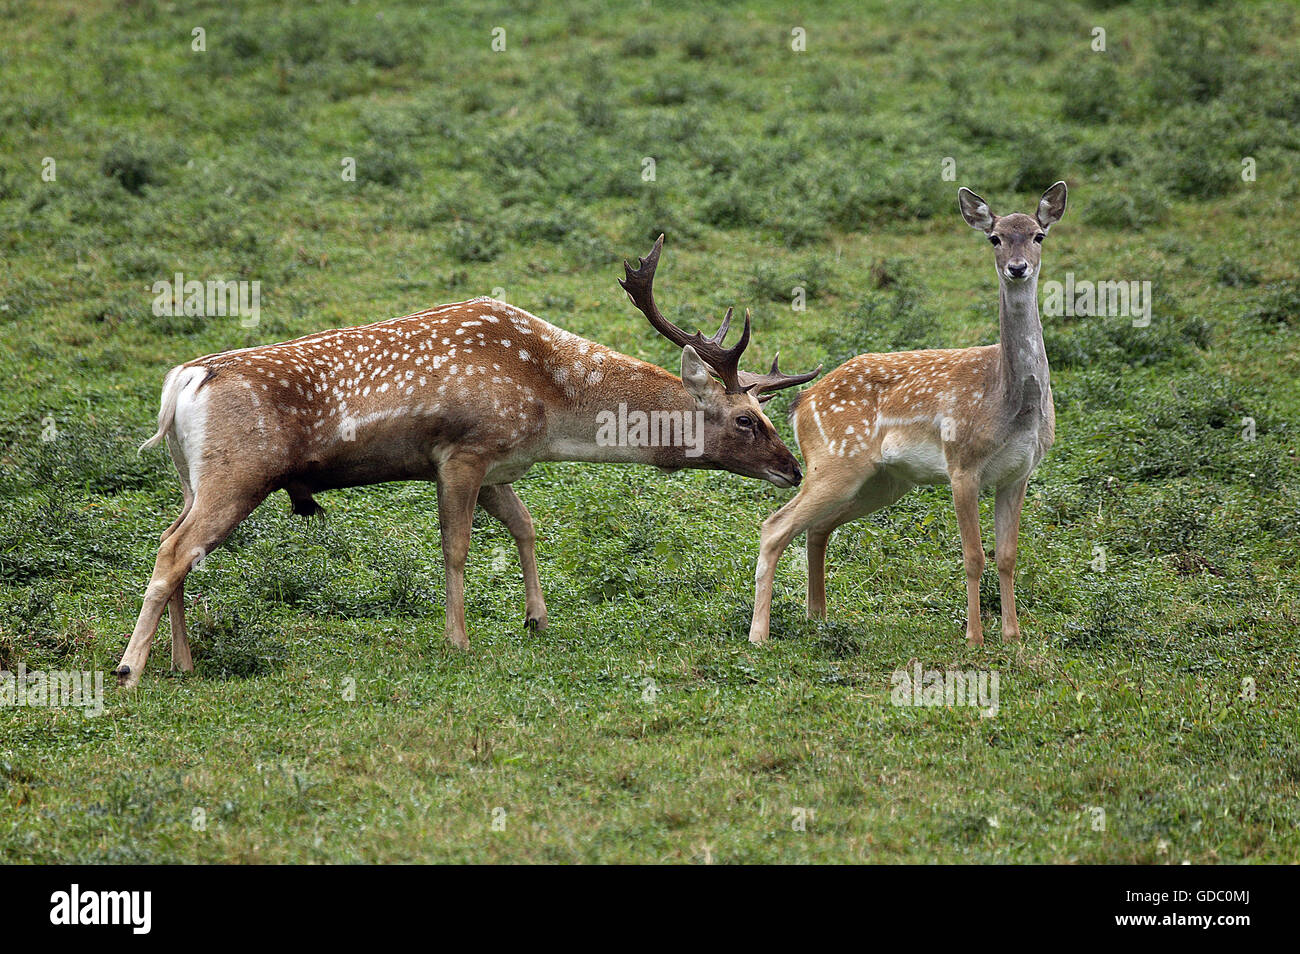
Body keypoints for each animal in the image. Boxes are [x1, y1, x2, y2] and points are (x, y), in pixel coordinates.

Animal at [114, 235, 818, 687]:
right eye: (746, 419)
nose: (794, 469)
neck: (551, 404)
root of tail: (180, 383)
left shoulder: (499, 466)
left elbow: (525, 526)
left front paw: (536, 619)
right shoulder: (463, 450)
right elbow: (456, 546)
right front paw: (459, 639)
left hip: (194, 479)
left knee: (175, 545)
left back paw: (183, 662)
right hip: (237, 473)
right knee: (173, 552)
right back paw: (130, 669)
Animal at [748, 182, 1068, 647]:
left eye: (1038, 235)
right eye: (995, 238)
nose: (1017, 267)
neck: (1010, 403)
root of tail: (801, 403)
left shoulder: (1019, 472)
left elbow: (1007, 555)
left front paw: (1012, 637)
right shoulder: (962, 464)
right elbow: (974, 556)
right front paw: (974, 639)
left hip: (883, 481)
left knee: (816, 528)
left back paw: (818, 617)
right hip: (834, 461)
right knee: (774, 527)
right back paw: (759, 634)